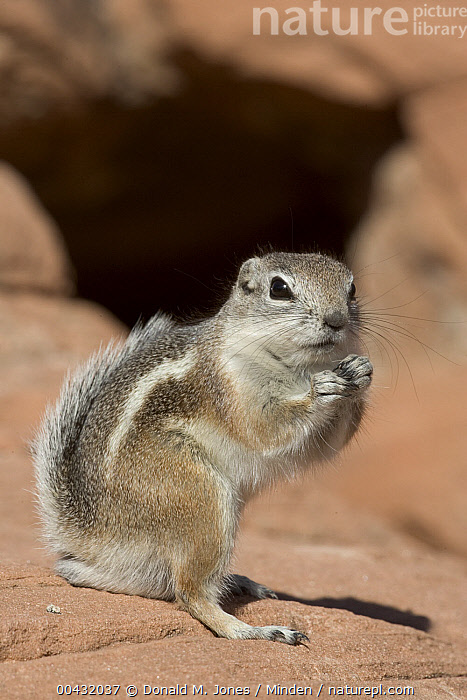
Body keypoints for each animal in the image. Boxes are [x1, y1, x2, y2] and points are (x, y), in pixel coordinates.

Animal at [33, 251, 372, 645]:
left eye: (352, 288)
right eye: (279, 288)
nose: (337, 319)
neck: (298, 368)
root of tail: (90, 532)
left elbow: (326, 444)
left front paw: (360, 371)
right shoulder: (230, 389)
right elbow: (266, 430)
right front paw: (322, 390)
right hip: (199, 493)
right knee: (189, 592)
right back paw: (251, 630)